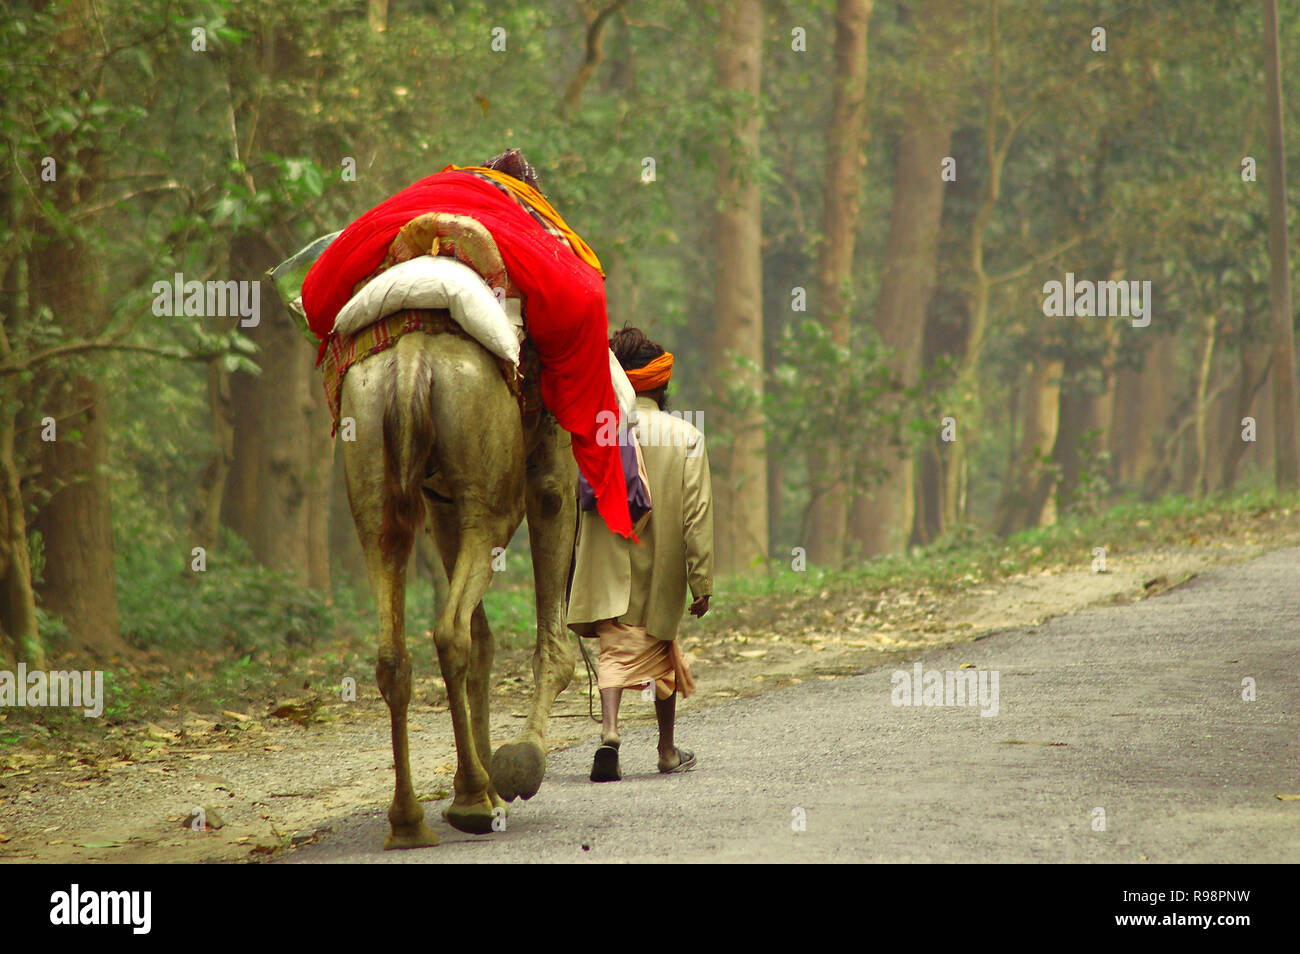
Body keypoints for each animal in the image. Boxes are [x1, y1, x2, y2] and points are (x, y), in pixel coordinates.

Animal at [339, 322, 577, 848]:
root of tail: (411, 360)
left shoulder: (442, 501)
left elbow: (486, 640)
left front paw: (493, 782)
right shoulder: (553, 463)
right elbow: (553, 643)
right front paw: (520, 763)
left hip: (369, 467)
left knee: (397, 649)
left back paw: (411, 819)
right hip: (491, 494)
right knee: (451, 631)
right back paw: (469, 799)